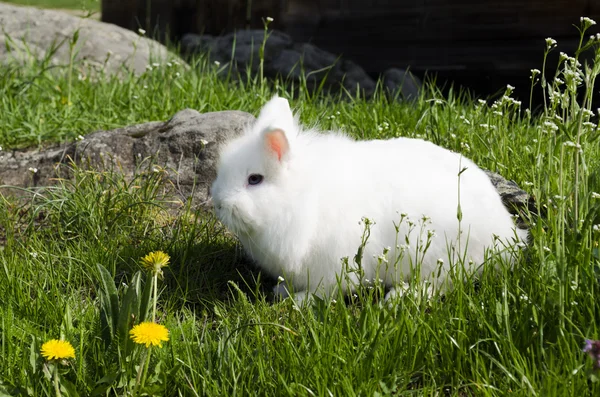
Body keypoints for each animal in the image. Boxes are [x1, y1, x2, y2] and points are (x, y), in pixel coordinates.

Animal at [210, 96, 524, 300]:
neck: (300, 197)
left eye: (255, 179)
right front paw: (281, 290)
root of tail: (509, 236)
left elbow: (324, 290)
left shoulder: (333, 264)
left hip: (439, 258)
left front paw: (298, 301)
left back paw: (398, 298)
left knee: (439, 285)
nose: (218, 203)